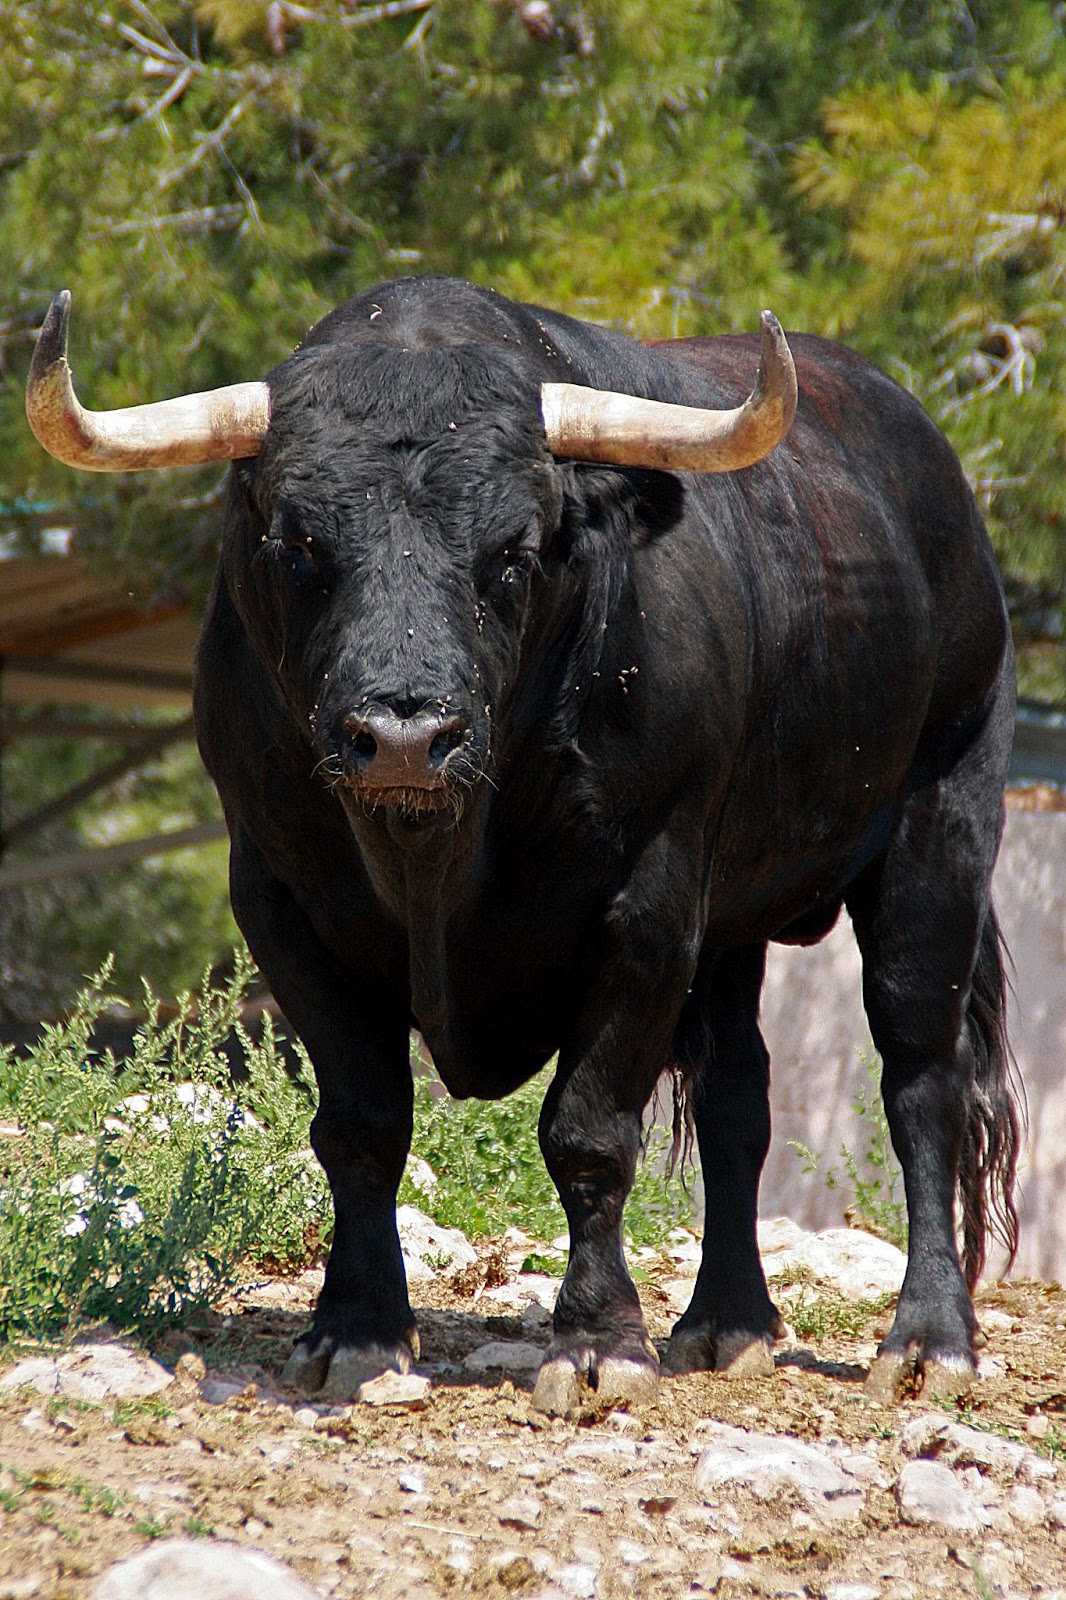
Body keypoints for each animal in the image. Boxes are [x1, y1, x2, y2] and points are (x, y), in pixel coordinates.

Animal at [27, 277, 1019, 1413]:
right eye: (300, 546)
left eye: (512, 551)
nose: (403, 735)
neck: (435, 857)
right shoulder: (280, 903)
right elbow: (361, 1125)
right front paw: (357, 1329)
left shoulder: (647, 908)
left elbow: (587, 1128)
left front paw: (596, 1343)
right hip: (732, 919)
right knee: (738, 1095)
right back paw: (727, 1324)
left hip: (941, 824)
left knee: (921, 1075)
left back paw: (929, 1337)